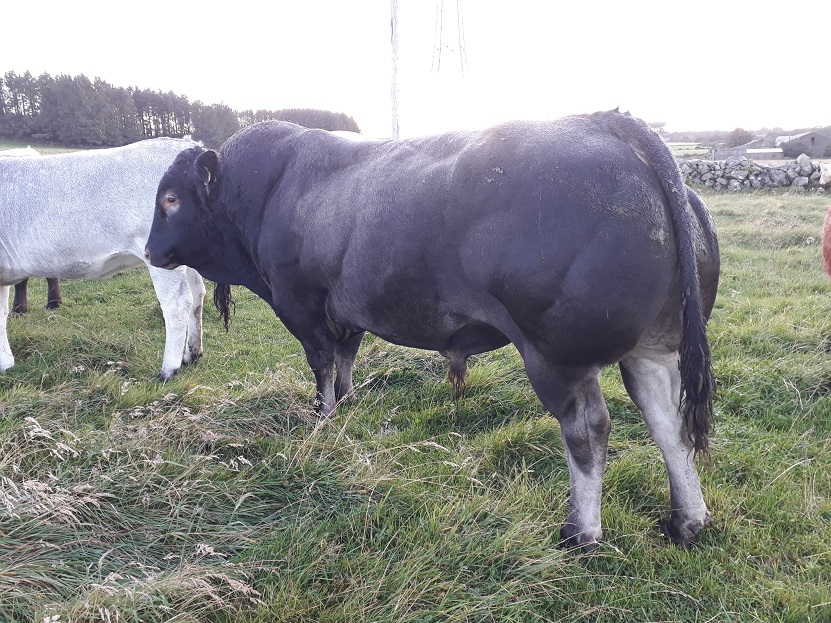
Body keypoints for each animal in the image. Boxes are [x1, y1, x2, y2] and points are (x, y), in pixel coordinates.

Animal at [1, 138, 206, 379]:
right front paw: (6, 364)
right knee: (198, 293)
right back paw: (192, 354)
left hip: (162, 255)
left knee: (178, 303)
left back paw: (168, 370)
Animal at [144, 109, 720, 550]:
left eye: (171, 199)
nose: (149, 250)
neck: (265, 191)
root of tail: (610, 128)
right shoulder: (347, 311)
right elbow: (346, 362)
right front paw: (345, 409)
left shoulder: (303, 306)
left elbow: (323, 368)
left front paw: (322, 420)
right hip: (654, 348)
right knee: (669, 422)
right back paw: (687, 522)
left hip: (558, 355)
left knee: (588, 430)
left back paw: (582, 532)